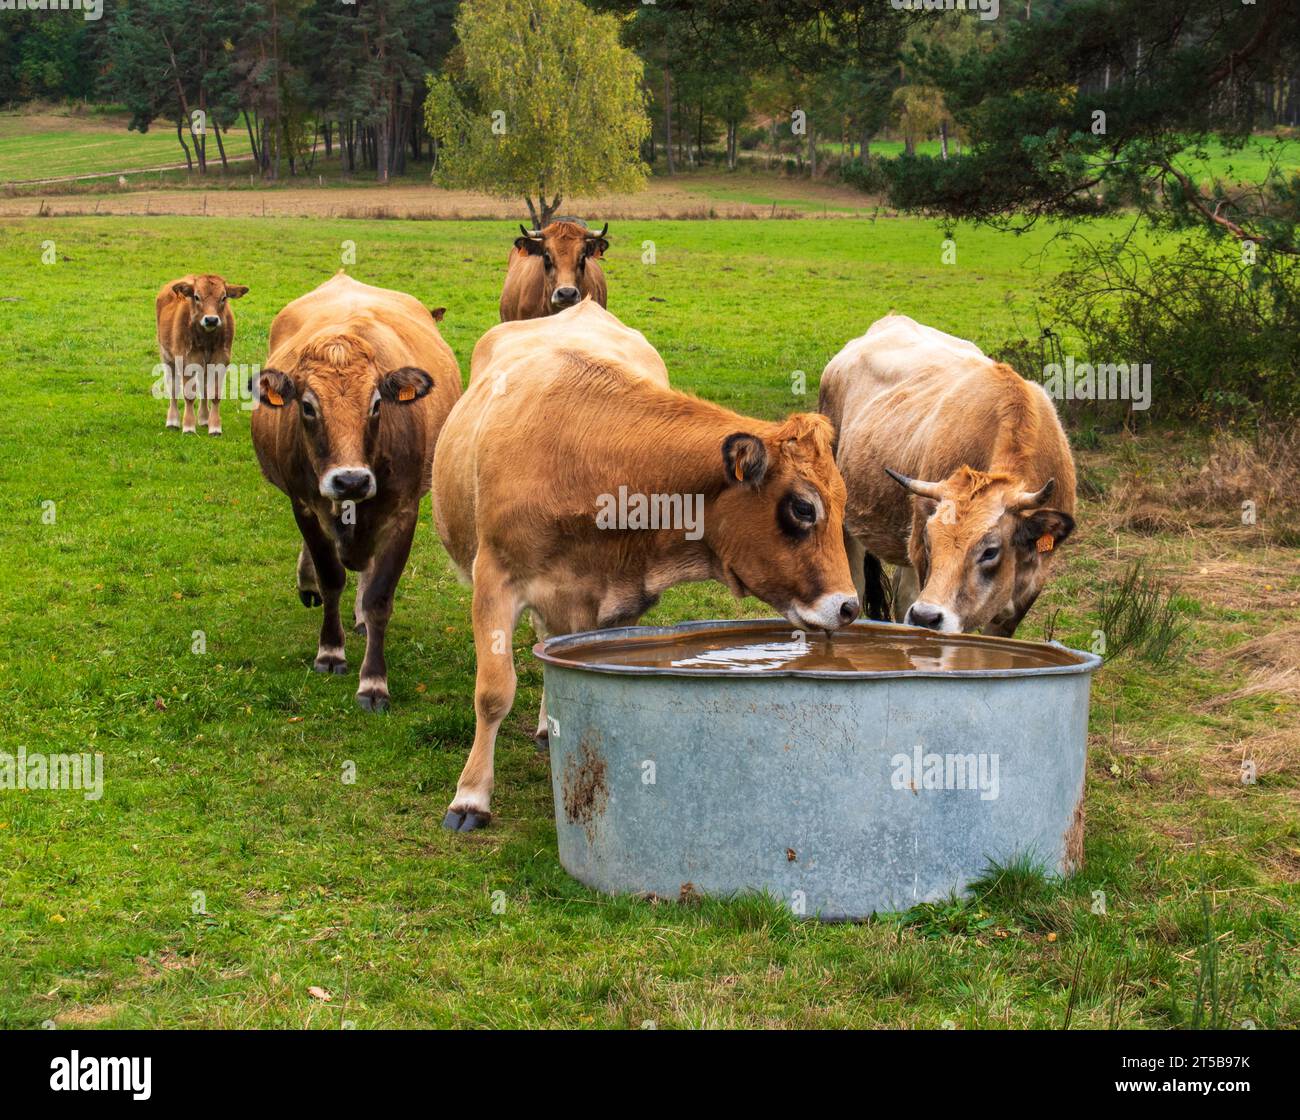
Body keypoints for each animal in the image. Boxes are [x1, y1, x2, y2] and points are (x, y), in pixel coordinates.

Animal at [156, 273, 248, 435]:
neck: (207, 340)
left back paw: (204, 419)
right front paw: (188, 426)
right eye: (197, 296)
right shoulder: (186, 361)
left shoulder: (221, 360)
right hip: (167, 358)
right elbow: (188, 394)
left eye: (223, 297)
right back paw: (172, 421)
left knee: (203, 387)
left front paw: (215, 427)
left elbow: (214, 394)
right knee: (173, 388)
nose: (211, 319)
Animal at [250, 272, 462, 711]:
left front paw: (373, 682)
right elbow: (331, 576)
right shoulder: (305, 505)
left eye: (377, 404)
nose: (350, 480)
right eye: (308, 406)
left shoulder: (402, 513)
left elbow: (379, 597)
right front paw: (331, 651)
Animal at [432, 300, 860, 831]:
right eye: (803, 508)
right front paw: (470, 796)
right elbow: (493, 693)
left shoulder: (618, 603)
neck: (584, 457)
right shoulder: (495, 581)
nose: (849, 607)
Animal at [818, 313, 1076, 637]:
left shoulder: (1029, 589)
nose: (925, 617)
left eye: (990, 551)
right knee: (860, 585)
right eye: (931, 542)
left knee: (902, 595)